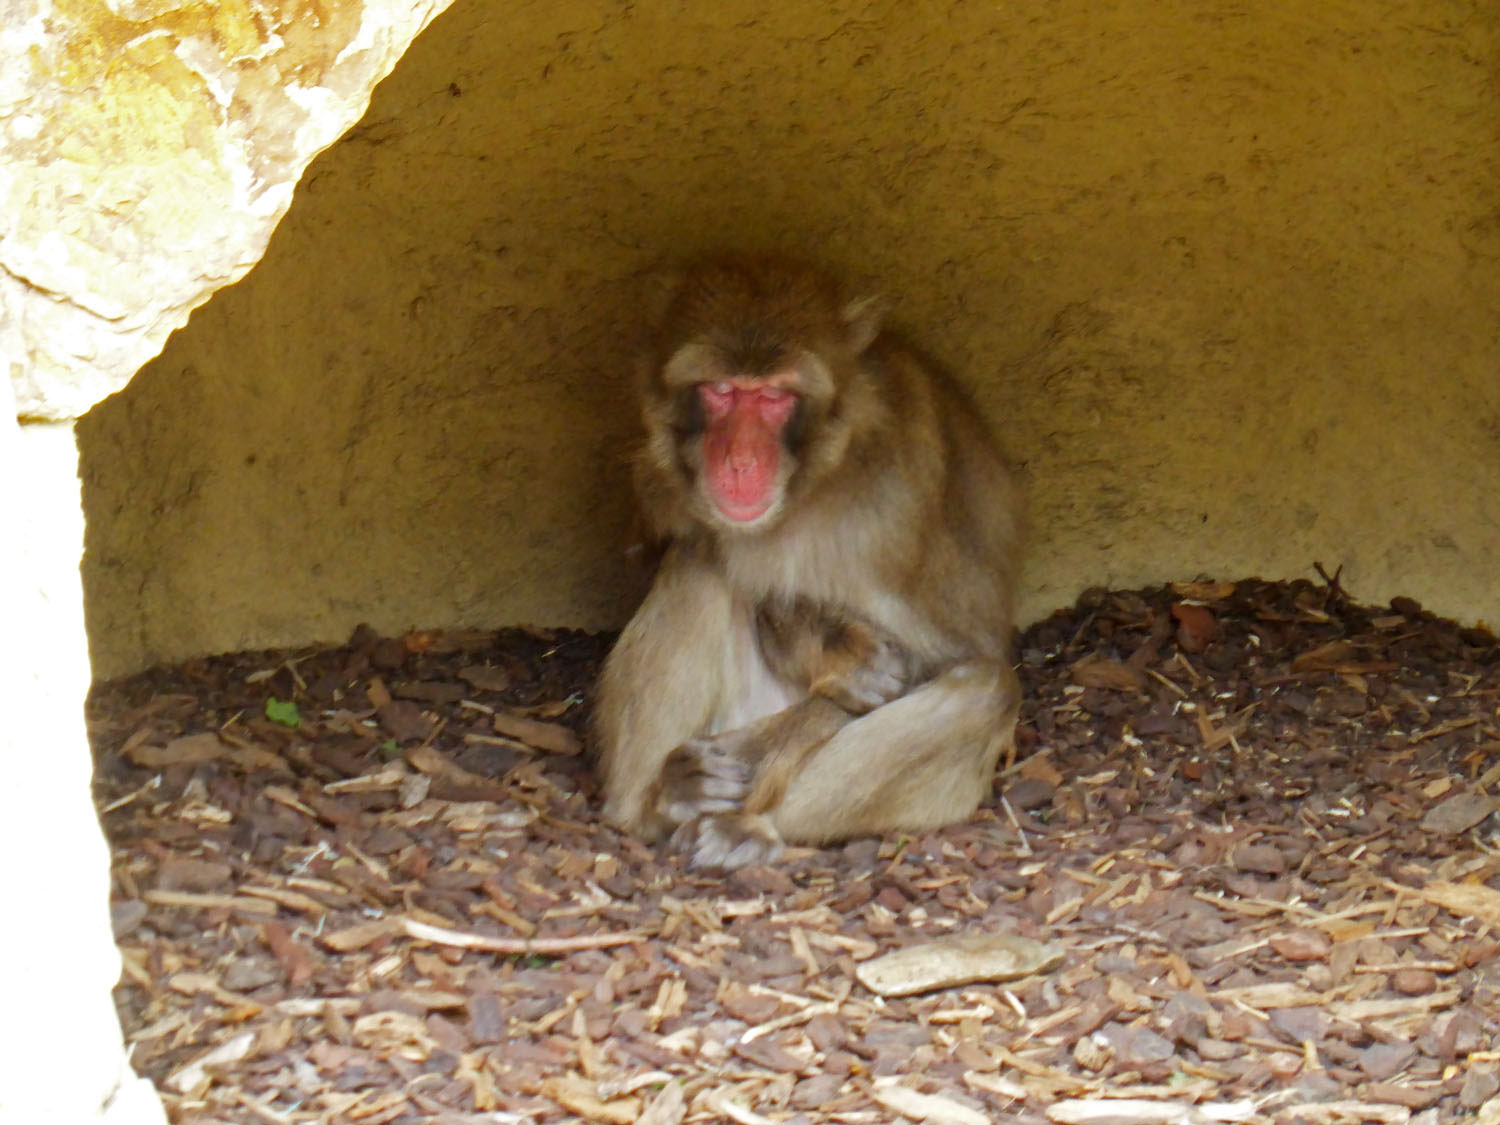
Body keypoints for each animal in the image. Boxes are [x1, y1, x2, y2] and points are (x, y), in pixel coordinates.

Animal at [593, 255, 1022, 869]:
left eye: (775, 397)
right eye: (722, 391)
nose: (740, 461)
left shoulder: (903, 493)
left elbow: (955, 653)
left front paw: (765, 746)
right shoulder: (656, 475)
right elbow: (658, 557)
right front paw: (834, 649)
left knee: (986, 689)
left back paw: (753, 825)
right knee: (697, 563)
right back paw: (652, 805)